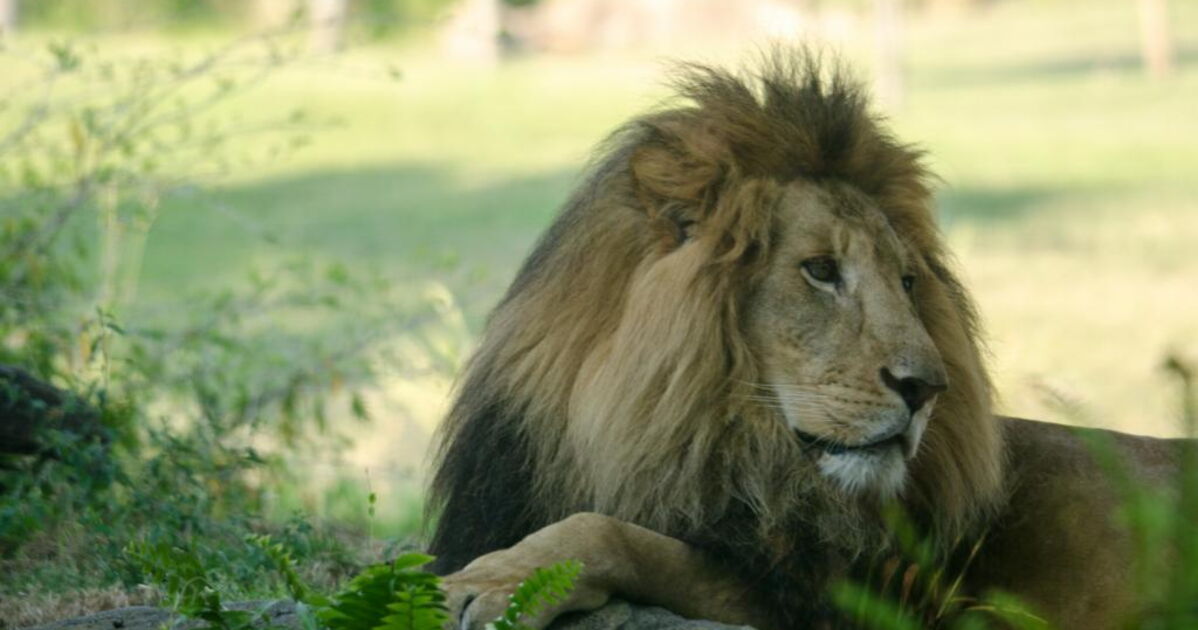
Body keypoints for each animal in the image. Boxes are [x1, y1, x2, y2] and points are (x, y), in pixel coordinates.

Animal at [426, 51, 1186, 629]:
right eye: (820, 270)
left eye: (907, 282)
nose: (927, 389)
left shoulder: (821, 596)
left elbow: (614, 532)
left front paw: (495, 583)